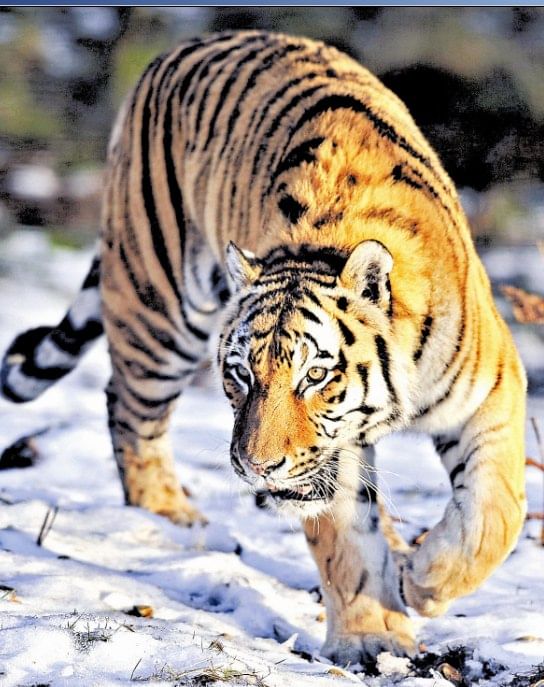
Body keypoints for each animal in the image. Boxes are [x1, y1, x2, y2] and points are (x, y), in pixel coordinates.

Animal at [1, 30, 527, 667]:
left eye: (315, 377)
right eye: (240, 375)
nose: (257, 468)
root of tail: (192, 42)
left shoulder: (493, 393)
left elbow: (494, 512)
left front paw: (426, 581)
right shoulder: (331, 458)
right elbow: (348, 545)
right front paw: (371, 635)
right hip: (158, 307)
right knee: (128, 407)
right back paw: (168, 513)